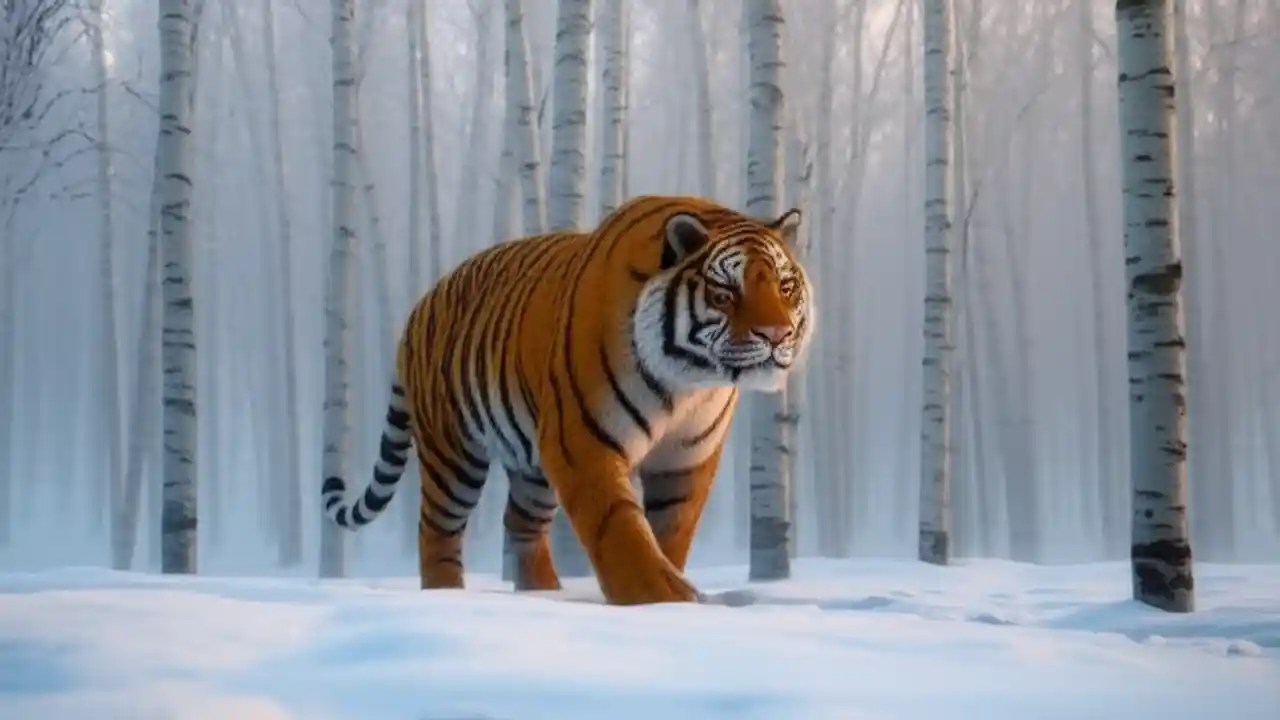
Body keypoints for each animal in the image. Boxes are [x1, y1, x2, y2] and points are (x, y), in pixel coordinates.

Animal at [322, 194, 814, 605]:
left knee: (520, 522)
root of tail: (420, 305)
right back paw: (446, 595)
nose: (777, 335)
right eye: (726, 292)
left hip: (532, 465)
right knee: (437, 528)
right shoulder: (583, 440)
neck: (690, 381)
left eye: (785, 287)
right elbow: (617, 523)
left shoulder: (687, 457)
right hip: (453, 452)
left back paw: (544, 593)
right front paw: (658, 596)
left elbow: (673, 528)